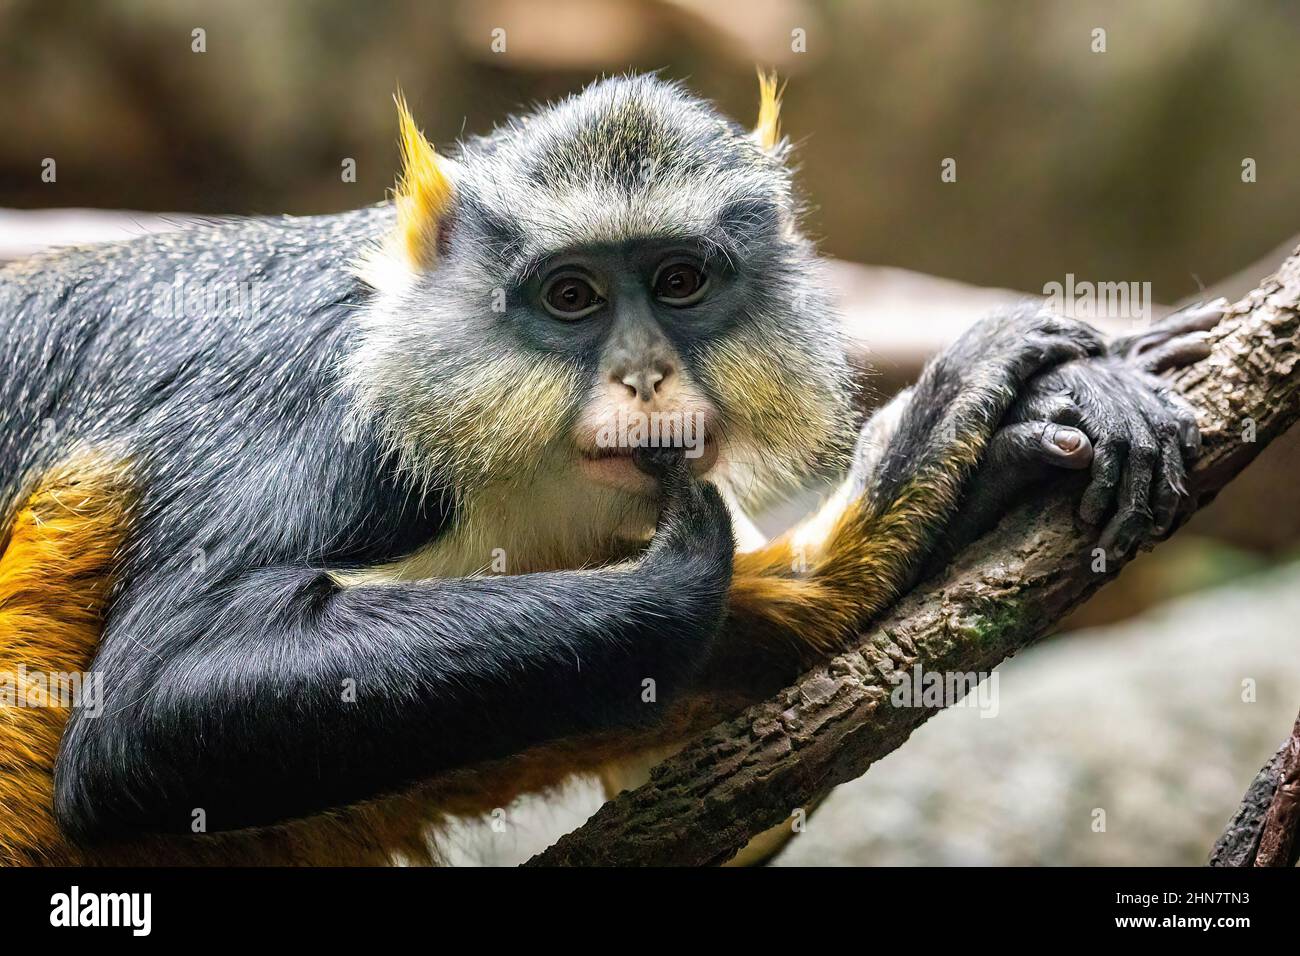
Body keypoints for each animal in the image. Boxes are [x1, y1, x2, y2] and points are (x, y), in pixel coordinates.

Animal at [0, 74, 1217, 866]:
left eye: (678, 281)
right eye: (573, 296)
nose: (640, 374)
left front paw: (982, 456)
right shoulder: (320, 430)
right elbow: (150, 707)